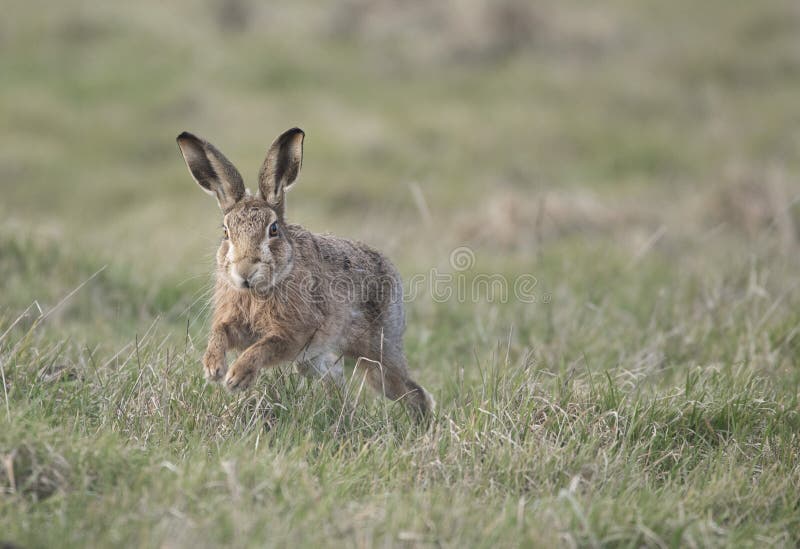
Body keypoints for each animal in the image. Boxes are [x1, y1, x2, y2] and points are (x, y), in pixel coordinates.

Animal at [176, 127, 435, 420]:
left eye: (273, 229)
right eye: (225, 232)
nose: (245, 271)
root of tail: (390, 269)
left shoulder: (296, 335)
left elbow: (265, 346)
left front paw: (237, 377)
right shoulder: (238, 323)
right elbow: (220, 332)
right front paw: (213, 367)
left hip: (378, 352)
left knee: (406, 389)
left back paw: (423, 423)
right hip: (313, 359)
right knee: (335, 374)